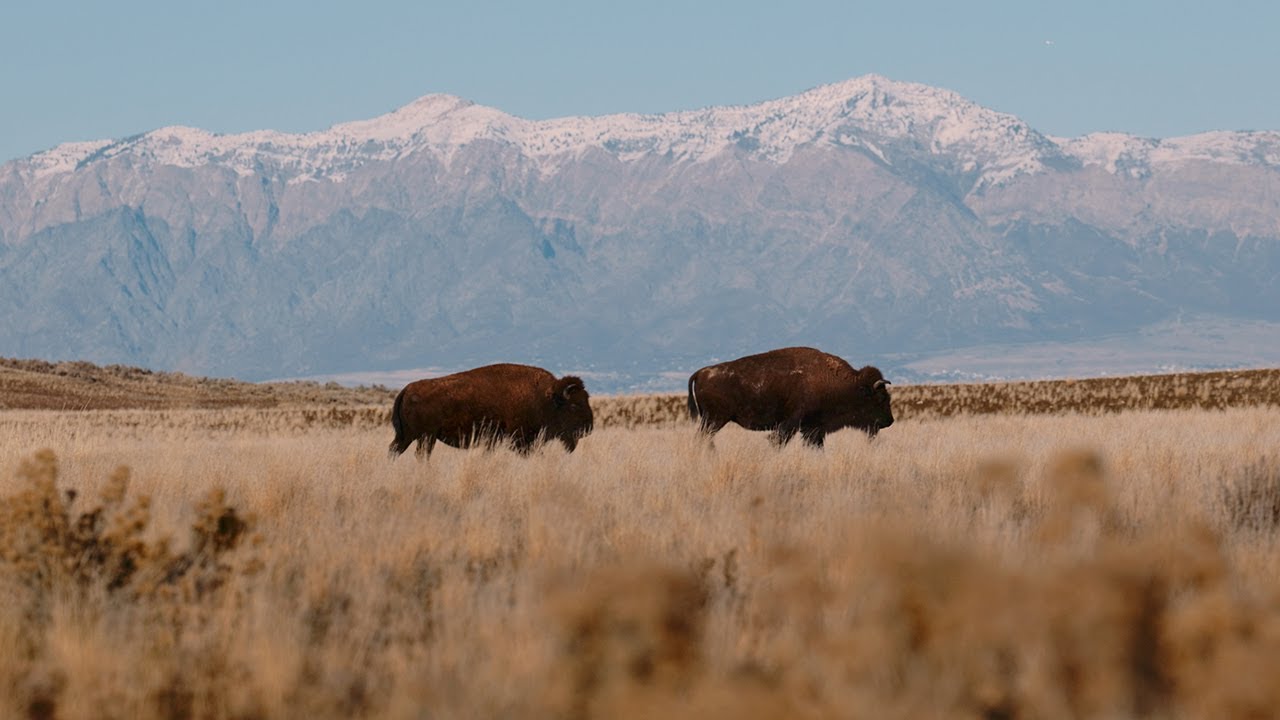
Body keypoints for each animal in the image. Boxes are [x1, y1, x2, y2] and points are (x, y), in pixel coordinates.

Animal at [389, 363, 594, 458]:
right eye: (574, 405)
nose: (588, 428)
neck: (546, 398)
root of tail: (407, 389)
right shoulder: (520, 440)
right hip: (424, 437)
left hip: (409, 436)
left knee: (395, 450)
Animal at [687, 346, 893, 447]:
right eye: (880, 398)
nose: (889, 421)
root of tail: (701, 372)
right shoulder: (792, 424)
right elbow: (778, 441)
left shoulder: (813, 428)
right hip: (715, 419)